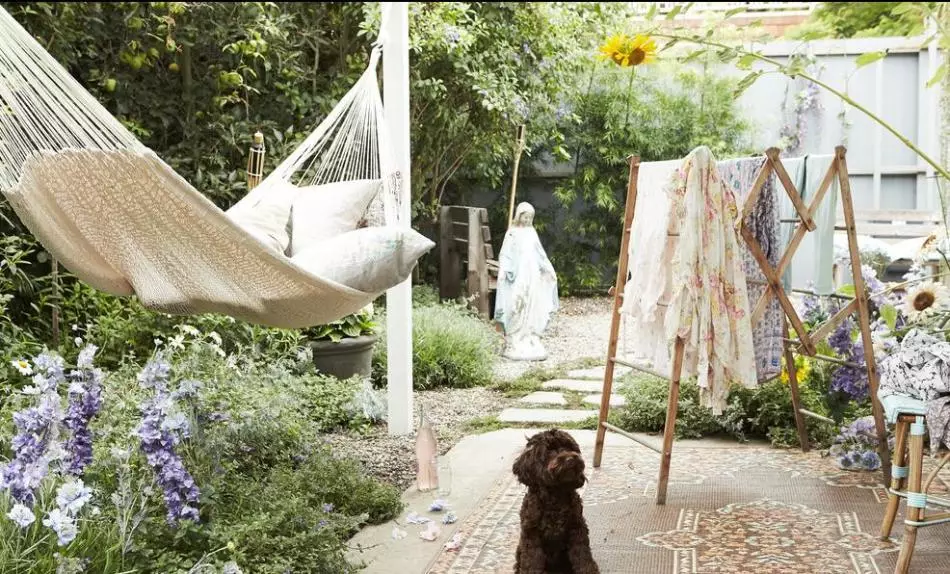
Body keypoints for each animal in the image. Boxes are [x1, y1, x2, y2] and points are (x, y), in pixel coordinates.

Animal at [516, 430, 600, 574]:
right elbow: (532, 561)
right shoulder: (531, 534)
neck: (555, 494)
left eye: (570, 447)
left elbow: (583, 556)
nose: (571, 459)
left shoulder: (577, 528)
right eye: (549, 451)